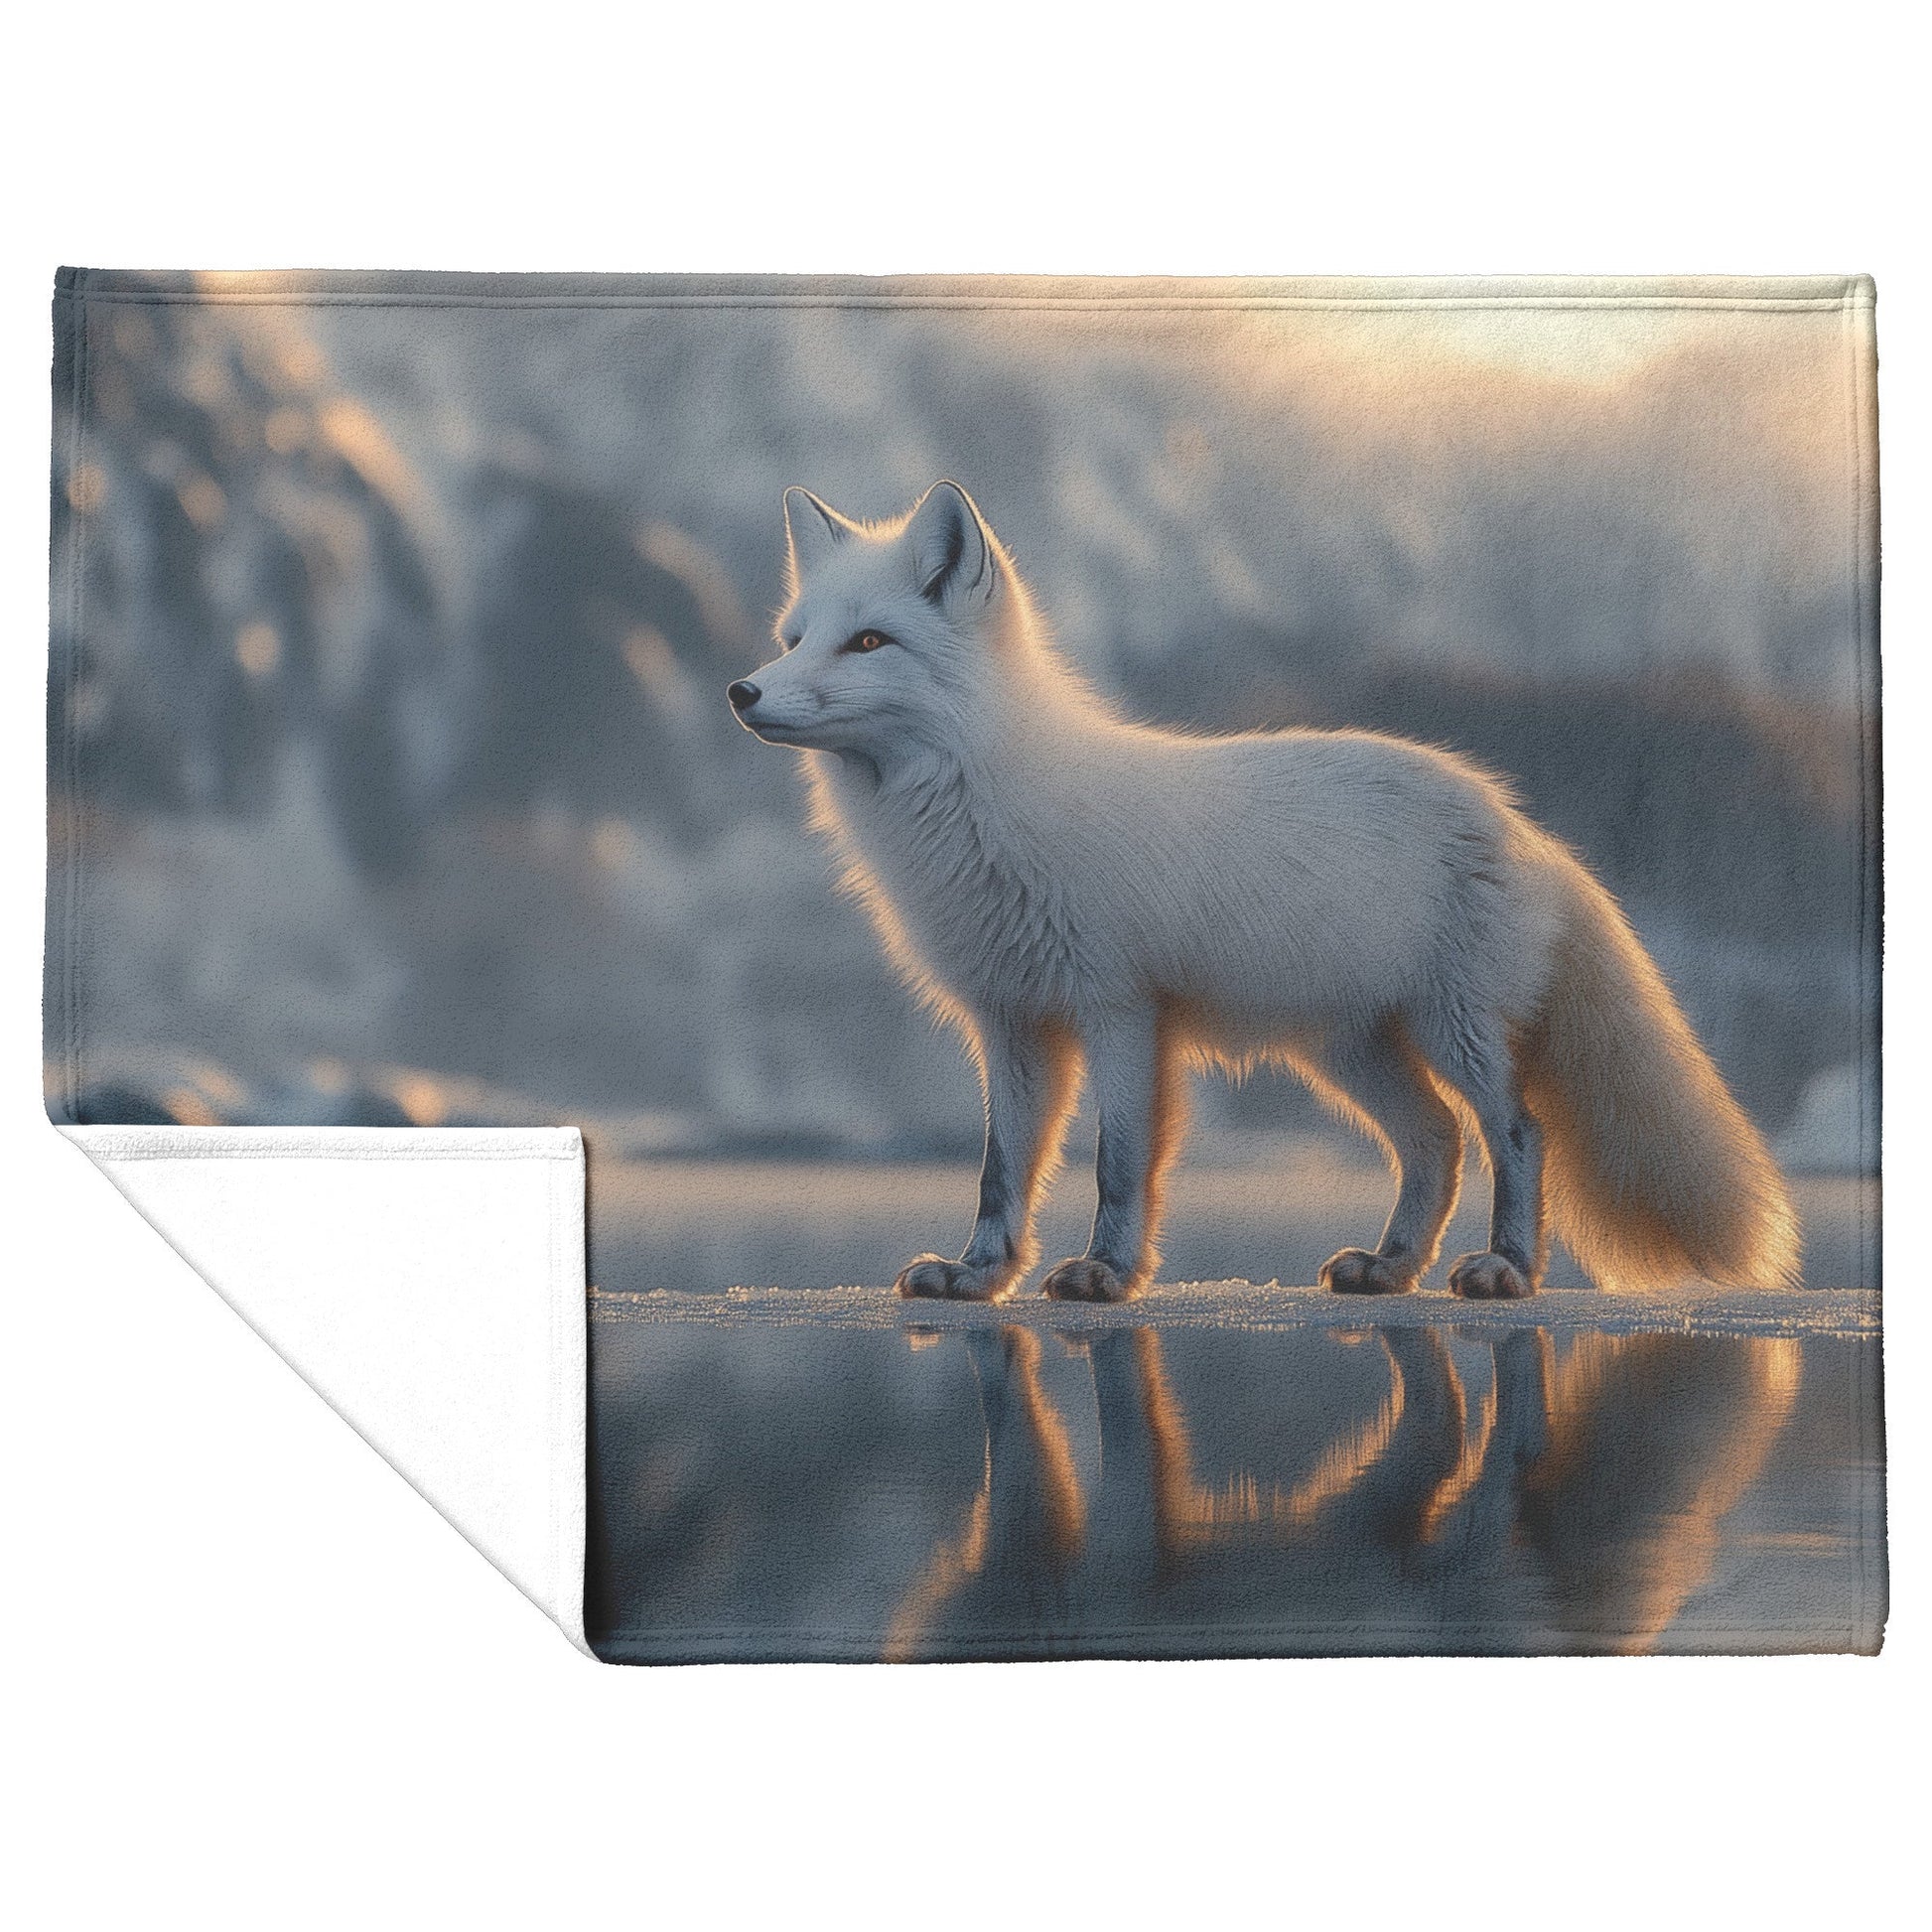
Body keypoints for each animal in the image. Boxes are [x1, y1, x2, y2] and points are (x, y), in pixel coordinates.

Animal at [727, 480, 1801, 1304]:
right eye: (794, 636)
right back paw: (1390, 1267)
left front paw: (1105, 1277)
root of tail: (1517, 821)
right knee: (1437, 1141)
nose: (742, 691)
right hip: (1348, 1053)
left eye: (869, 643)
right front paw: (978, 1277)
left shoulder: (1121, 1010)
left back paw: (1505, 1269)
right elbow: (1000, 1175)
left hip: (1451, 1029)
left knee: (1514, 1130)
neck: (987, 807)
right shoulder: (1013, 1024)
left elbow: (1118, 1166)